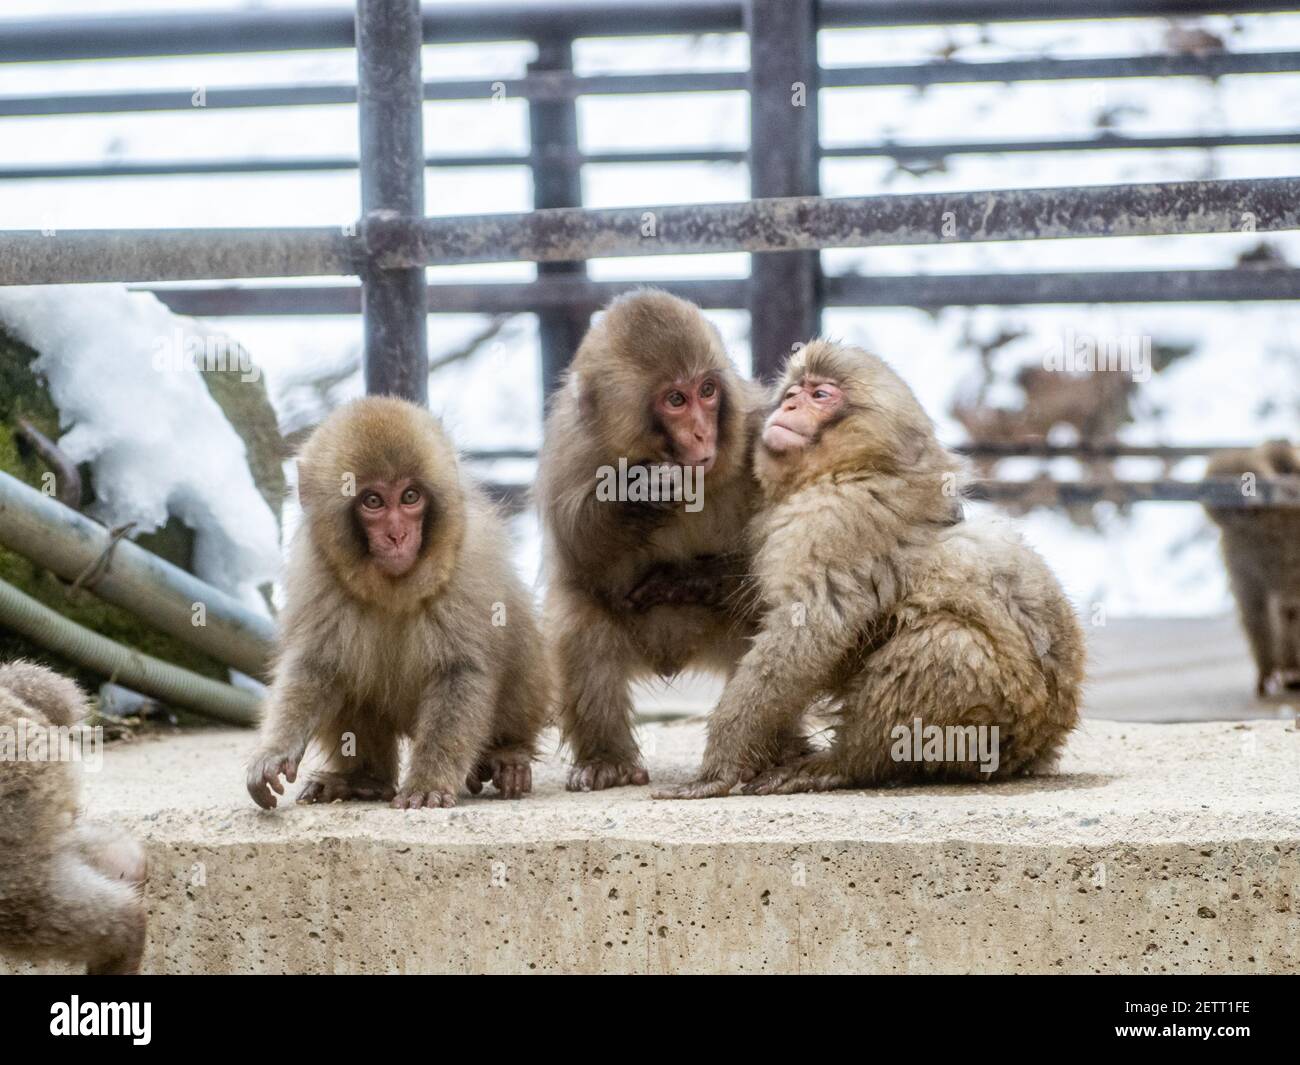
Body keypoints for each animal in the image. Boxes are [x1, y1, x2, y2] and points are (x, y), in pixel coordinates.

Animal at [246, 396, 548, 811]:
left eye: (410, 497)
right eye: (373, 501)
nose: (397, 535)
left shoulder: (470, 563)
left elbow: (461, 670)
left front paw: (428, 781)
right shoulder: (317, 571)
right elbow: (315, 666)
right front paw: (273, 752)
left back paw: (507, 756)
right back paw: (366, 780)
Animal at [535, 289, 770, 791]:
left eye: (707, 391)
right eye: (676, 399)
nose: (702, 431)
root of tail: (673, 659)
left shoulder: (760, 429)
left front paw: (690, 578)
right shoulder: (569, 446)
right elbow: (575, 551)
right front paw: (638, 492)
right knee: (578, 618)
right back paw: (607, 761)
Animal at [653, 340, 1086, 799]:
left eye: (820, 395)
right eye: (795, 390)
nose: (789, 404)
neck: (857, 469)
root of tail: (1042, 744)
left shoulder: (835, 519)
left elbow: (807, 632)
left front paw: (720, 762)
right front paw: (693, 579)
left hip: (998, 716)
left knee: (943, 643)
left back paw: (845, 763)